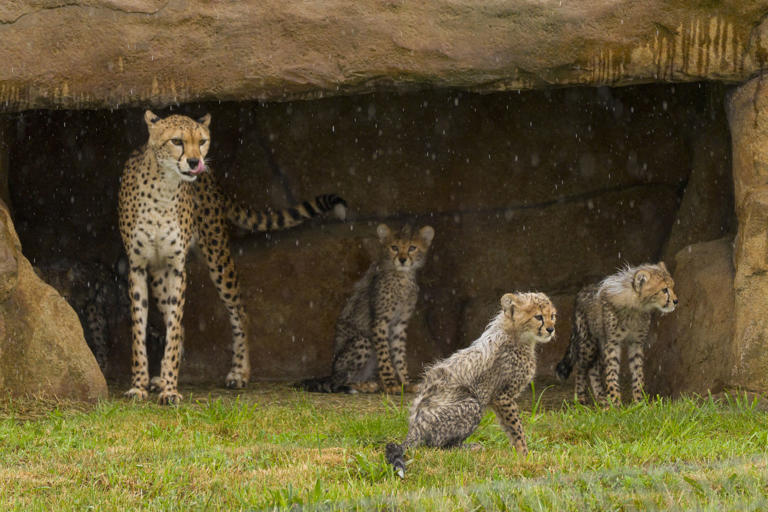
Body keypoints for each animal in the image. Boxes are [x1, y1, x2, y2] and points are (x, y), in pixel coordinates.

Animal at [118, 110, 347, 404]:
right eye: (177, 141)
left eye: (202, 141)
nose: (195, 162)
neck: (163, 188)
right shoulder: (138, 266)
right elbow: (140, 330)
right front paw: (140, 385)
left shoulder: (177, 268)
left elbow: (174, 325)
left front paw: (170, 388)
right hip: (159, 274)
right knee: (179, 323)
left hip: (216, 254)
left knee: (240, 312)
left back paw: (239, 372)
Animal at [300, 223, 434, 394]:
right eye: (394, 247)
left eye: (412, 248)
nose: (402, 259)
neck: (402, 276)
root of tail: (331, 372)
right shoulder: (380, 322)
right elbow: (385, 356)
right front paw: (391, 384)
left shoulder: (399, 324)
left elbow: (399, 354)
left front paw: (406, 383)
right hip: (361, 342)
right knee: (338, 381)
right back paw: (365, 386)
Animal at [386, 292, 557, 477]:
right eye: (538, 317)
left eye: (552, 316)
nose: (551, 329)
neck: (516, 335)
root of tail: (414, 428)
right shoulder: (502, 397)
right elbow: (516, 428)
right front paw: (524, 454)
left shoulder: (501, 399)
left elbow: (509, 428)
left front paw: (519, 453)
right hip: (472, 404)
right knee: (435, 446)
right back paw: (468, 448)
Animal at [555, 262, 678, 406]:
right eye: (664, 290)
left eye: (672, 287)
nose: (676, 301)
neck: (636, 307)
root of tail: (582, 290)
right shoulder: (612, 343)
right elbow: (611, 372)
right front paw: (615, 402)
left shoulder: (636, 343)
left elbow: (637, 372)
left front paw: (640, 401)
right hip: (589, 342)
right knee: (581, 367)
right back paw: (580, 397)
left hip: (600, 343)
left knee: (593, 369)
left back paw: (601, 397)